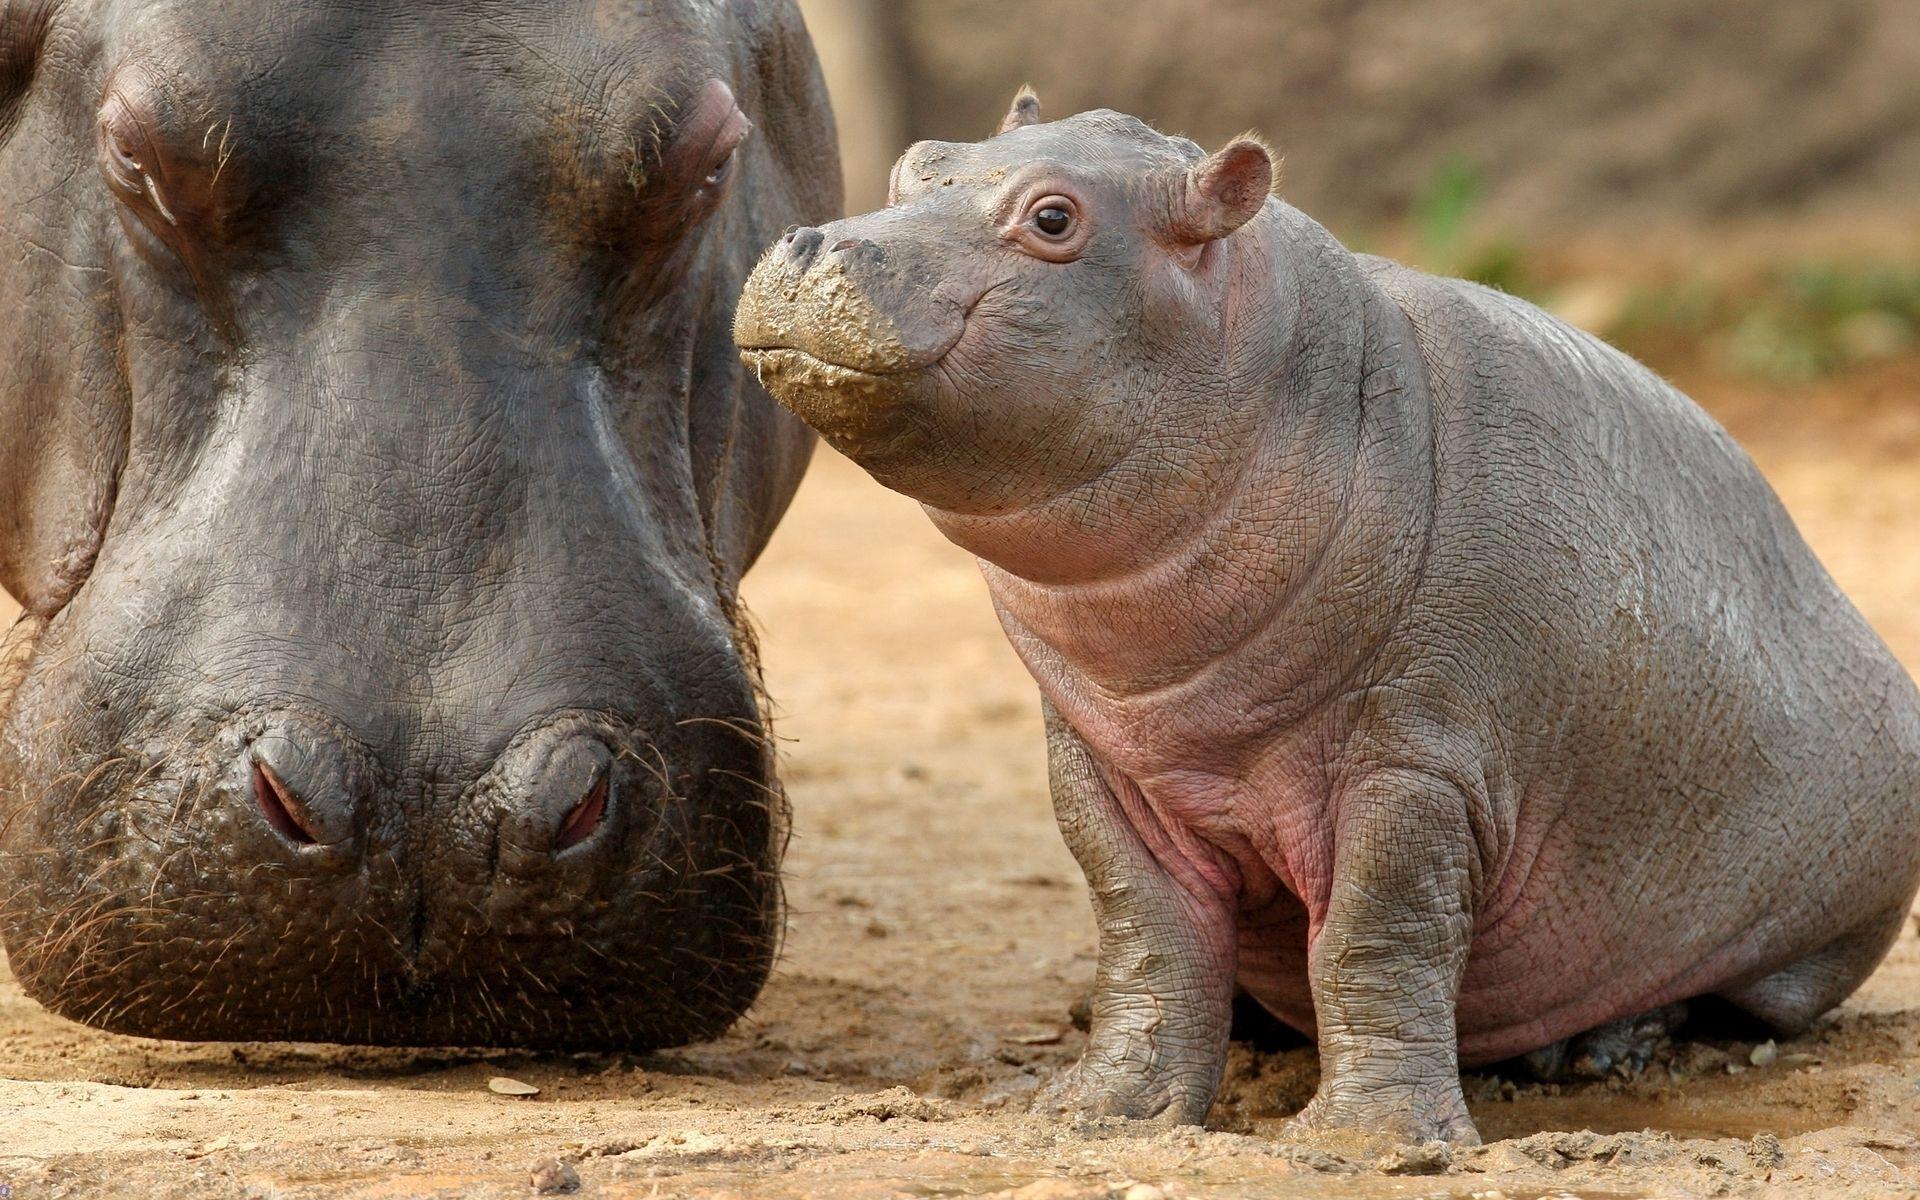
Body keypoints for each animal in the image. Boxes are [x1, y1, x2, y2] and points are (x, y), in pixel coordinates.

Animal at [735, 92, 1920, 1142]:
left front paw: (1370, 1139)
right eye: (914, 165)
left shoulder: (1421, 763)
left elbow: (1375, 938)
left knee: (1725, 997)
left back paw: (1597, 1051)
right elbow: (1145, 930)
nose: (810, 243)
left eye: (1055, 218)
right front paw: (1094, 1111)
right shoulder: (1104, 764)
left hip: (1803, 926)